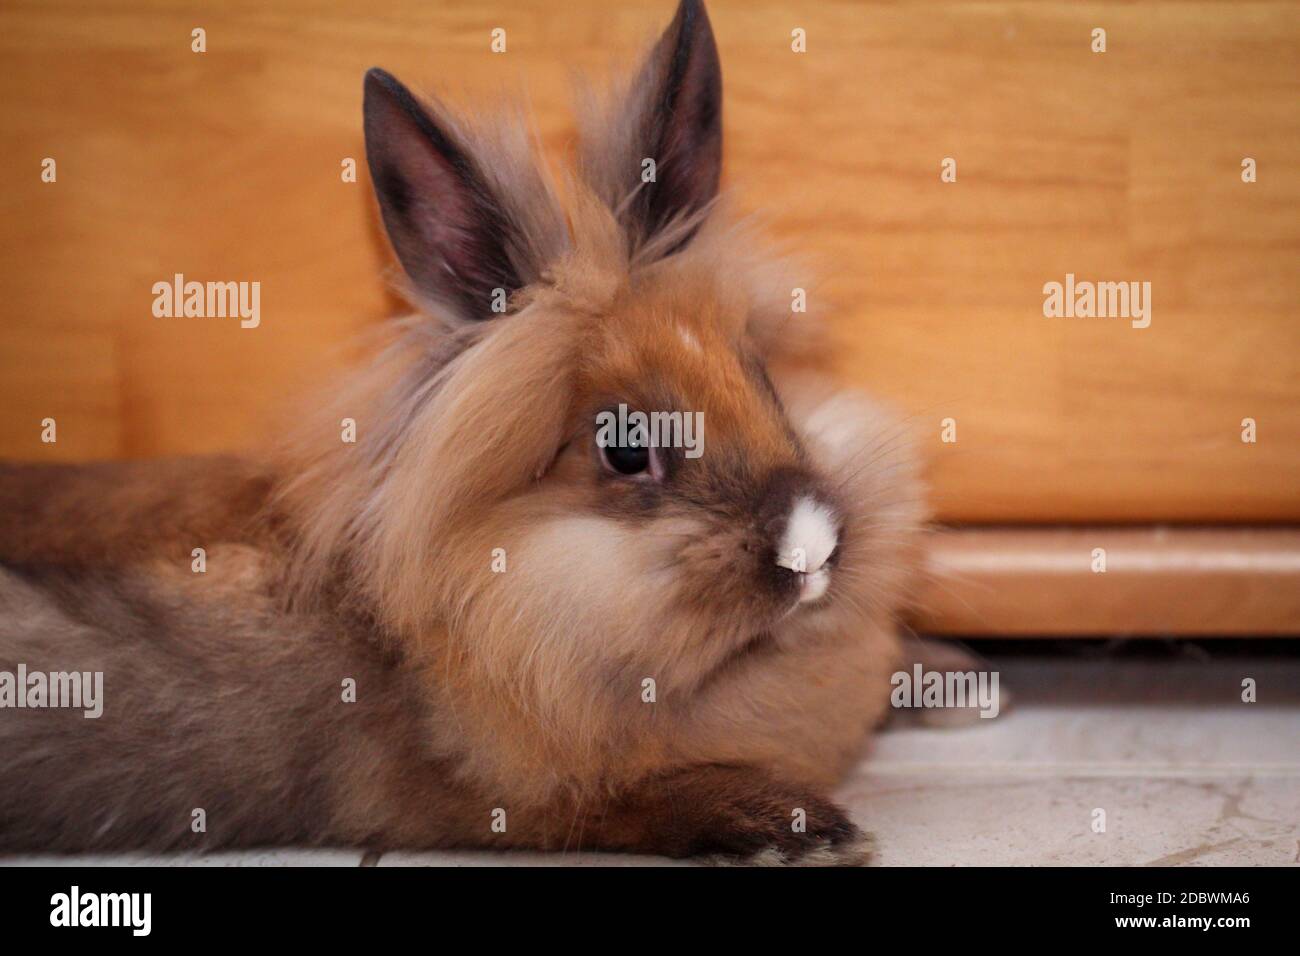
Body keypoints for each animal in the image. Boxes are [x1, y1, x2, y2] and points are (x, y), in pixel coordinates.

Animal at [0, 0, 922, 865]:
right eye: (626, 448)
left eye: (761, 376)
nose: (811, 545)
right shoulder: (504, 799)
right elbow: (622, 801)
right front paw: (796, 826)